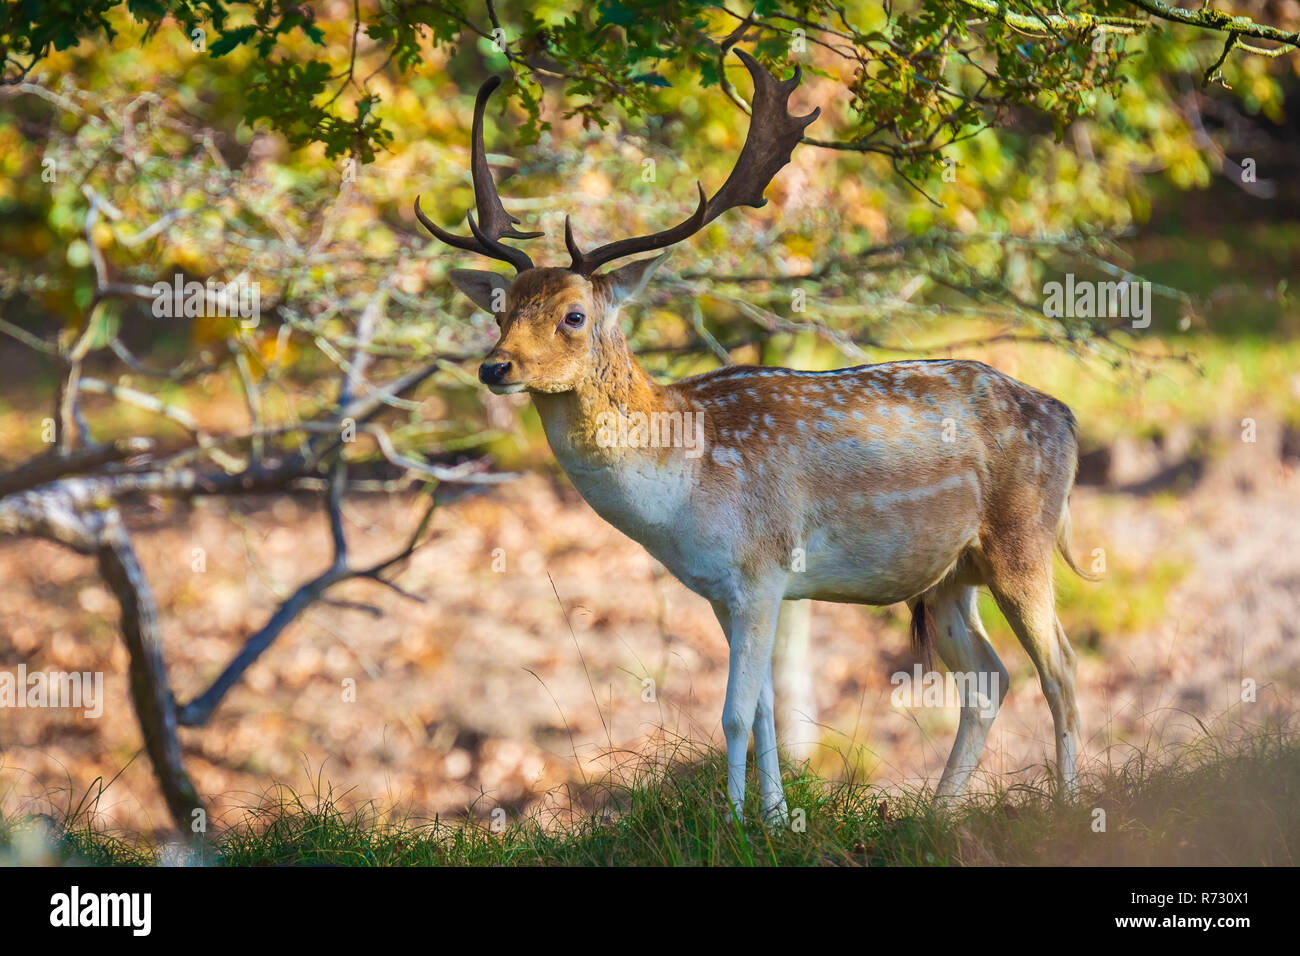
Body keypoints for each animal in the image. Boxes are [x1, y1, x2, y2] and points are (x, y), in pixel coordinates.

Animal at [416, 51, 1092, 824]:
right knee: (989, 678)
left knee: (1062, 667)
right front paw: (774, 820)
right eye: (502, 311)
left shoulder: (763, 568)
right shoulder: (722, 589)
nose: (494, 367)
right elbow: (768, 709)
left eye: (574, 315)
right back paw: (936, 813)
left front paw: (734, 823)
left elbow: (735, 713)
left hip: (1023, 538)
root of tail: (1067, 417)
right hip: (950, 573)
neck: (682, 483)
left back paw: (1070, 806)